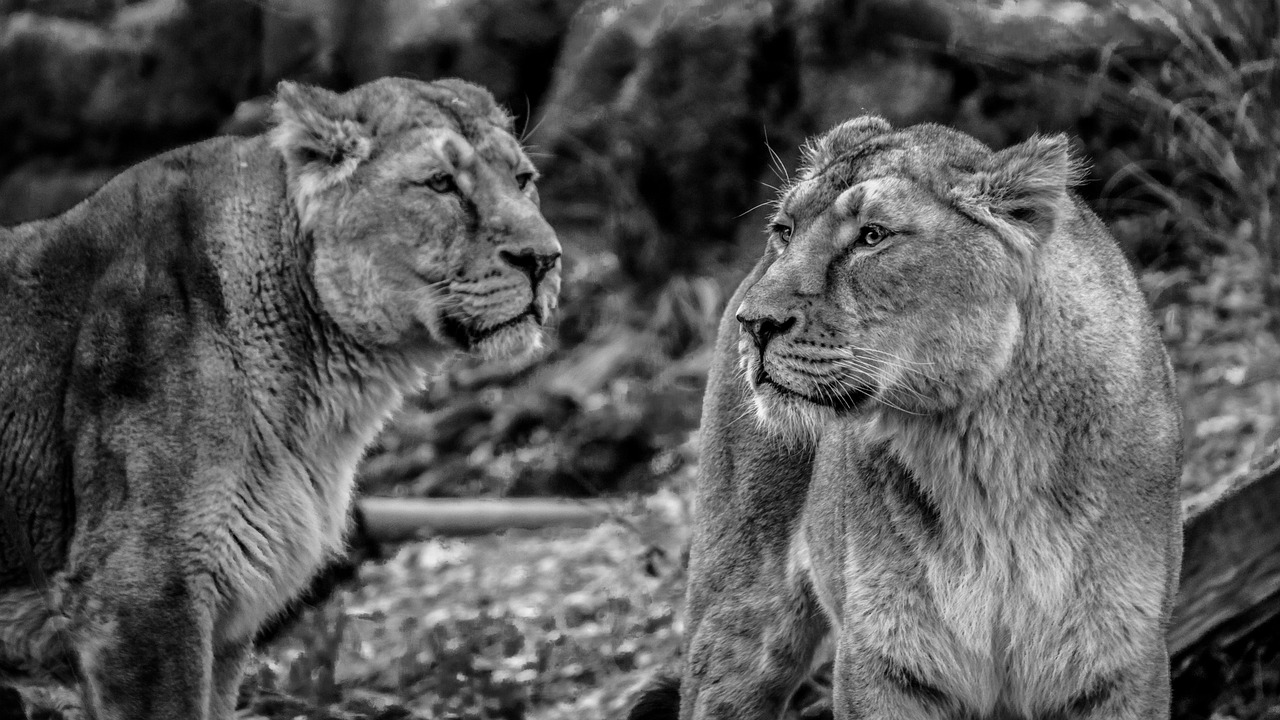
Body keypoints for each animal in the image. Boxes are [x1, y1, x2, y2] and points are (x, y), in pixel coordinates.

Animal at [631, 118, 1183, 719]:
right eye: (784, 230)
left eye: (872, 237)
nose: (752, 323)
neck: (980, 449)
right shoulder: (883, 662)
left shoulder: (1122, 664)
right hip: (734, 619)